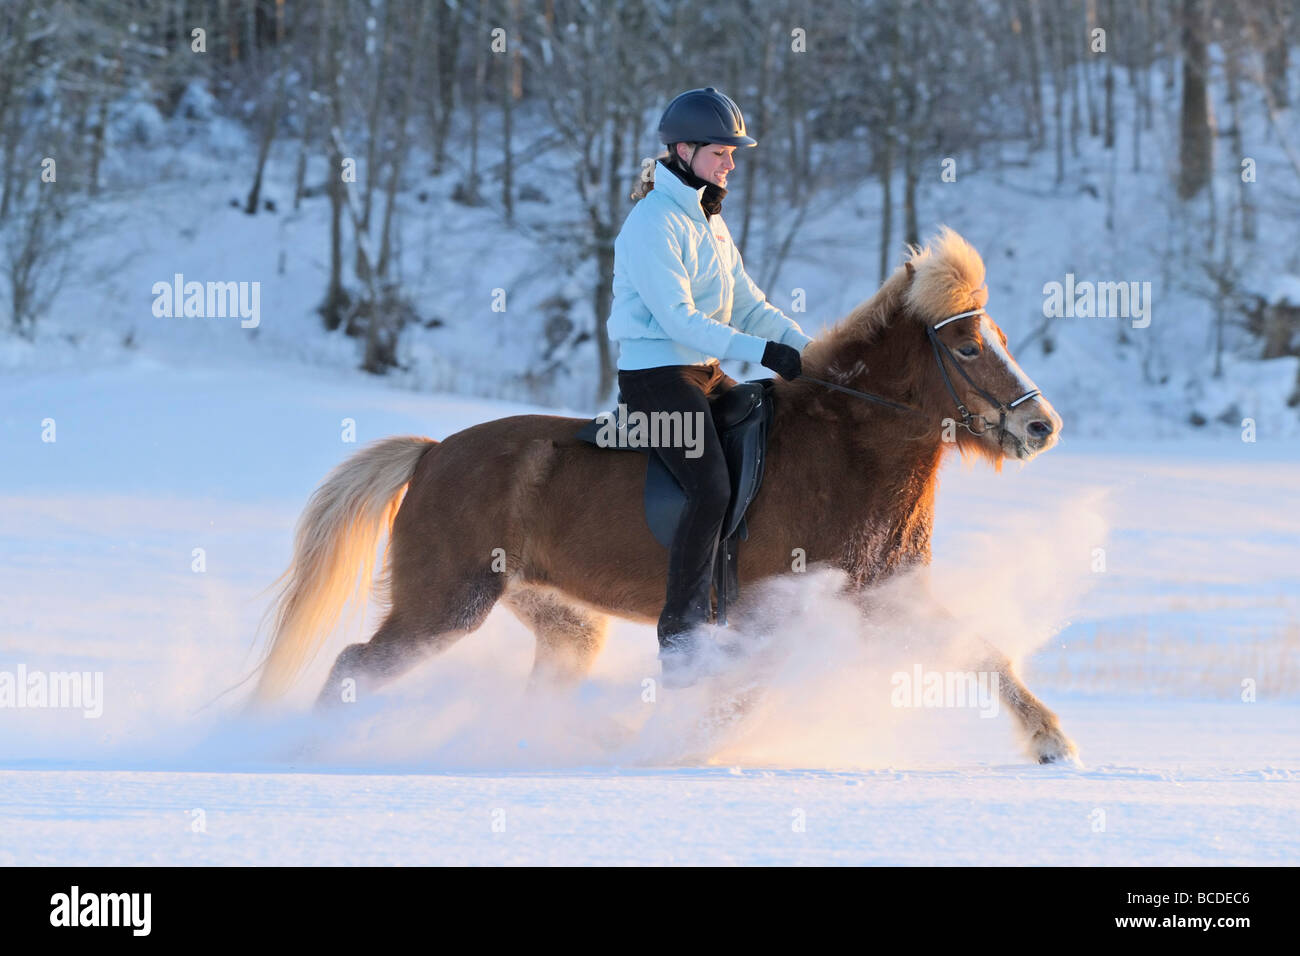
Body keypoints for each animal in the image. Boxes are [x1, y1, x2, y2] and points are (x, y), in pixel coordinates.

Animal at [250, 227, 1078, 764]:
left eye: (1000, 338)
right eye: (967, 346)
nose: (1041, 425)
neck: (847, 447)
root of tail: (430, 456)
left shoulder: (884, 597)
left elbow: (982, 652)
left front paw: (1052, 743)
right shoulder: (774, 611)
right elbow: (740, 694)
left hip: (560, 619)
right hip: (443, 606)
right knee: (353, 665)